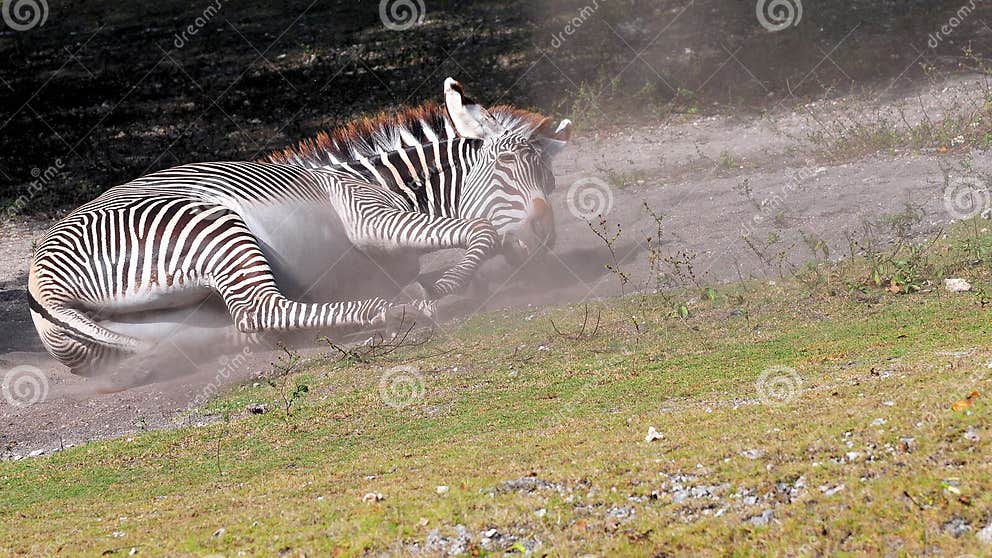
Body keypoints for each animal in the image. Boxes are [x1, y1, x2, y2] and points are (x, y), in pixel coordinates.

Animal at [28, 78, 572, 380]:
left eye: (548, 178)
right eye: (503, 168)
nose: (545, 238)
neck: (381, 181)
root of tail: (39, 284)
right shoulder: (367, 215)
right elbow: (481, 231)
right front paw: (447, 285)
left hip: (182, 327)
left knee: (249, 330)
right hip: (217, 230)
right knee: (262, 310)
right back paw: (393, 312)